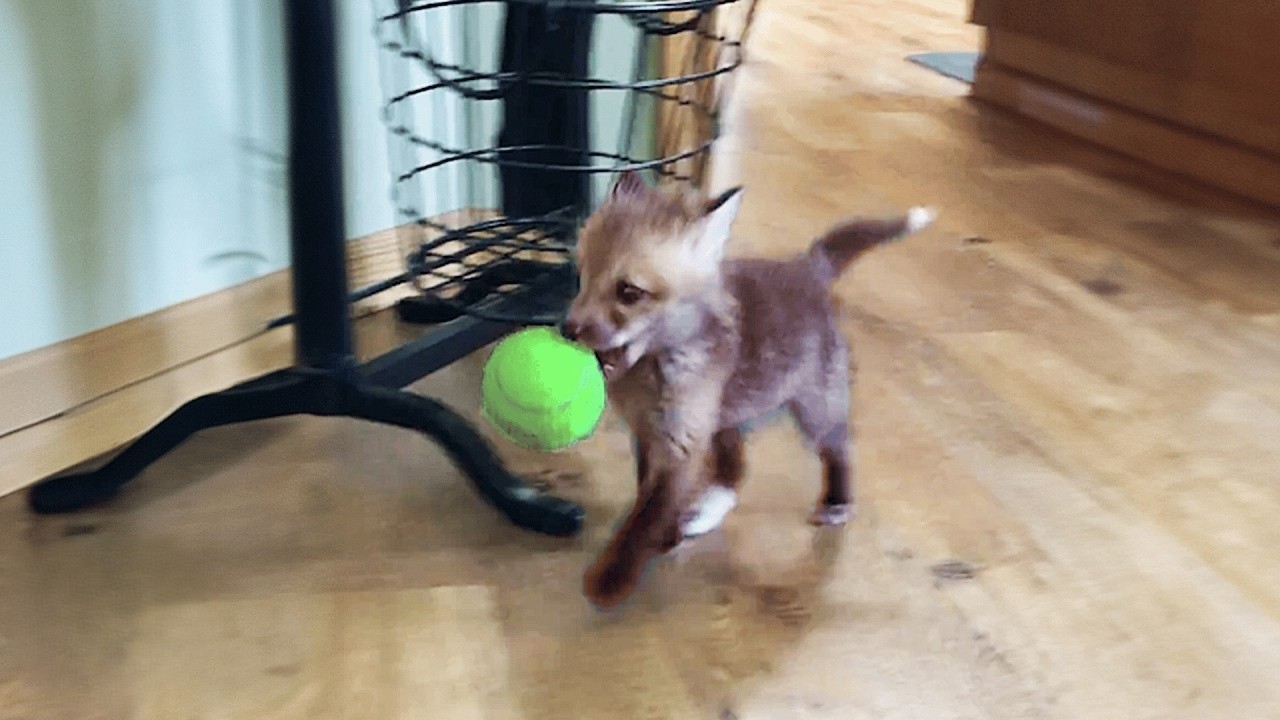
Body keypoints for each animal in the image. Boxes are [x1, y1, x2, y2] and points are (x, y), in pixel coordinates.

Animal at [562, 170, 936, 608]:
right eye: (582, 275)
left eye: (629, 292)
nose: (566, 330)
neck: (653, 376)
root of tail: (807, 265)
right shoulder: (652, 436)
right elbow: (649, 499)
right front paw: (667, 536)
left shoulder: (681, 443)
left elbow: (646, 517)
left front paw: (613, 578)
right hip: (728, 416)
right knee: (736, 470)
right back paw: (706, 510)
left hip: (816, 409)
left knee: (840, 448)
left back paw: (837, 502)